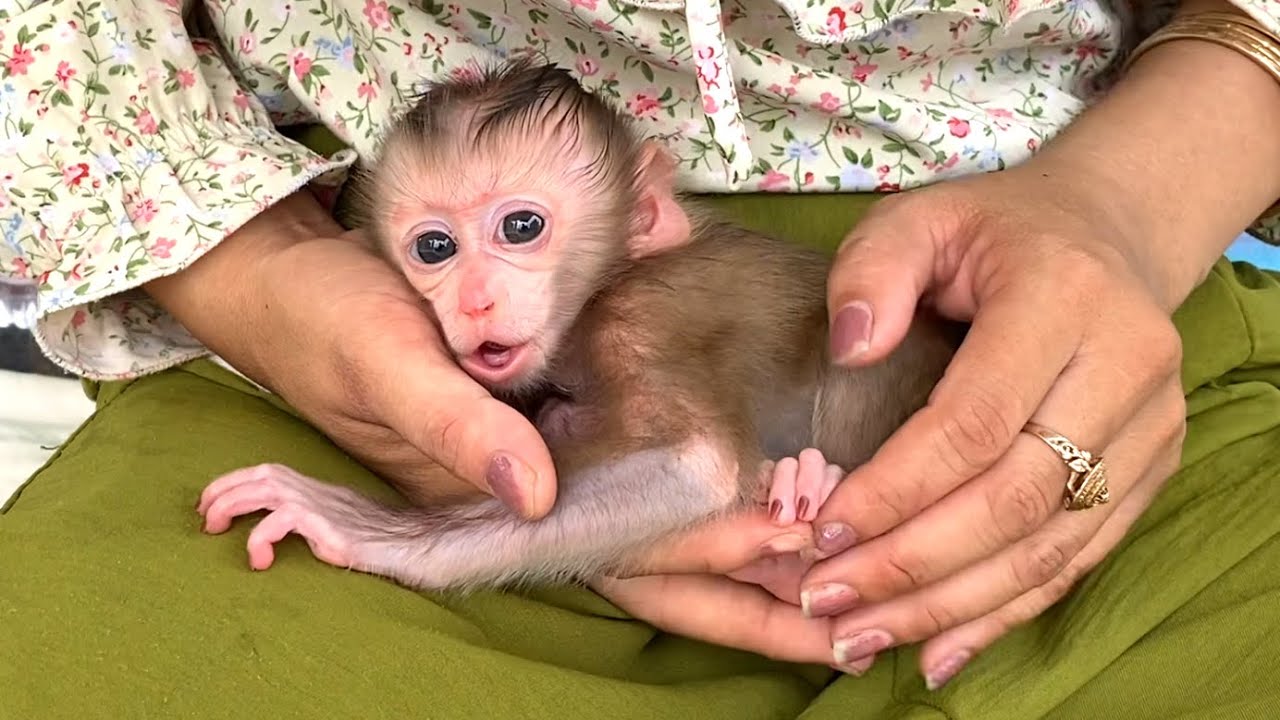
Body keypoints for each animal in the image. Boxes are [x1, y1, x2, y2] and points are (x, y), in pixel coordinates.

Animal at [195, 58, 963, 594]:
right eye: (435, 248)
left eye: (521, 228)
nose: (475, 300)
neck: (604, 287)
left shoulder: (641, 319)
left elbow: (695, 468)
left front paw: (363, 529)